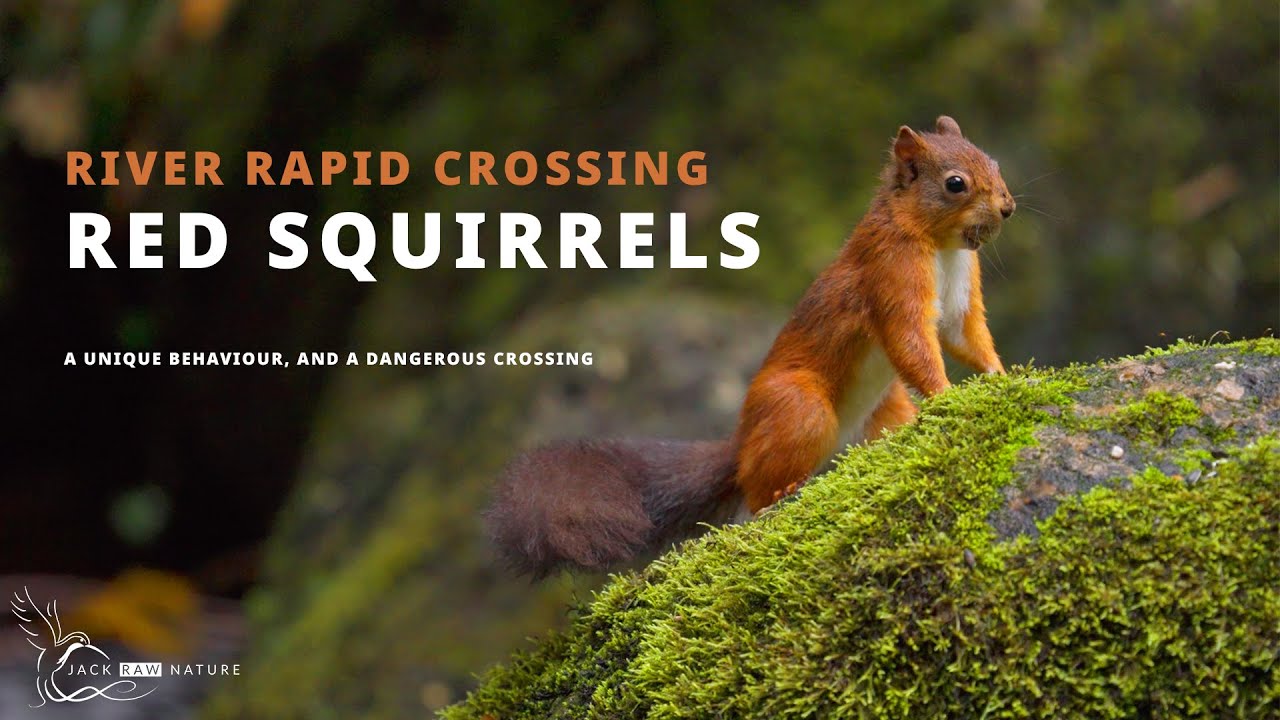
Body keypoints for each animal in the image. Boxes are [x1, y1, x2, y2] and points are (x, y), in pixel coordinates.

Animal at [487, 116, 1014, 577]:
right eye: (955, 184)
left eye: (994, 162)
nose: (1008, 208)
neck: (941, 246)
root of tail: (742, 440)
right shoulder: (891, 274)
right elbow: (911, 341)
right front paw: (948, 394)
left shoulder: (961, 295)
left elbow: (965, 336)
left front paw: (1000, 376)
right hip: (797, 408)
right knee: (758, 494)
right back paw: (785, 494)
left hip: (885, 407)